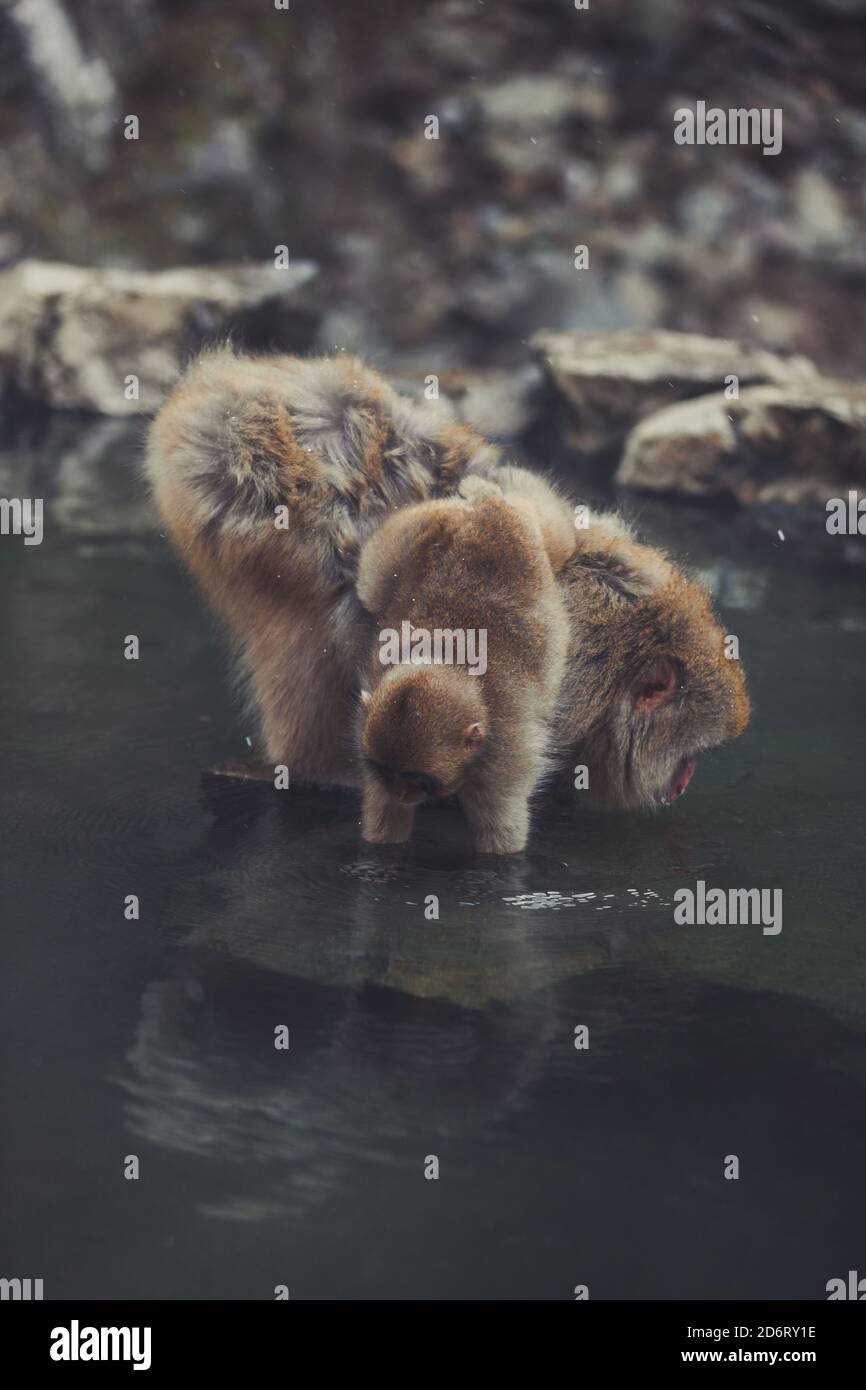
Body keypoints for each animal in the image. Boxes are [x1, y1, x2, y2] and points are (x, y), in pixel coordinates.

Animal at [355, 486, 574, 851]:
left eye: (415, 778)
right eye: (386, 772)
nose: (399, 792)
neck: (447, 661)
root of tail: (488, 506)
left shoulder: (504, 760)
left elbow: (500, 837)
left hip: (533, 528)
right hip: (419, 525)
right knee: (370, 587)